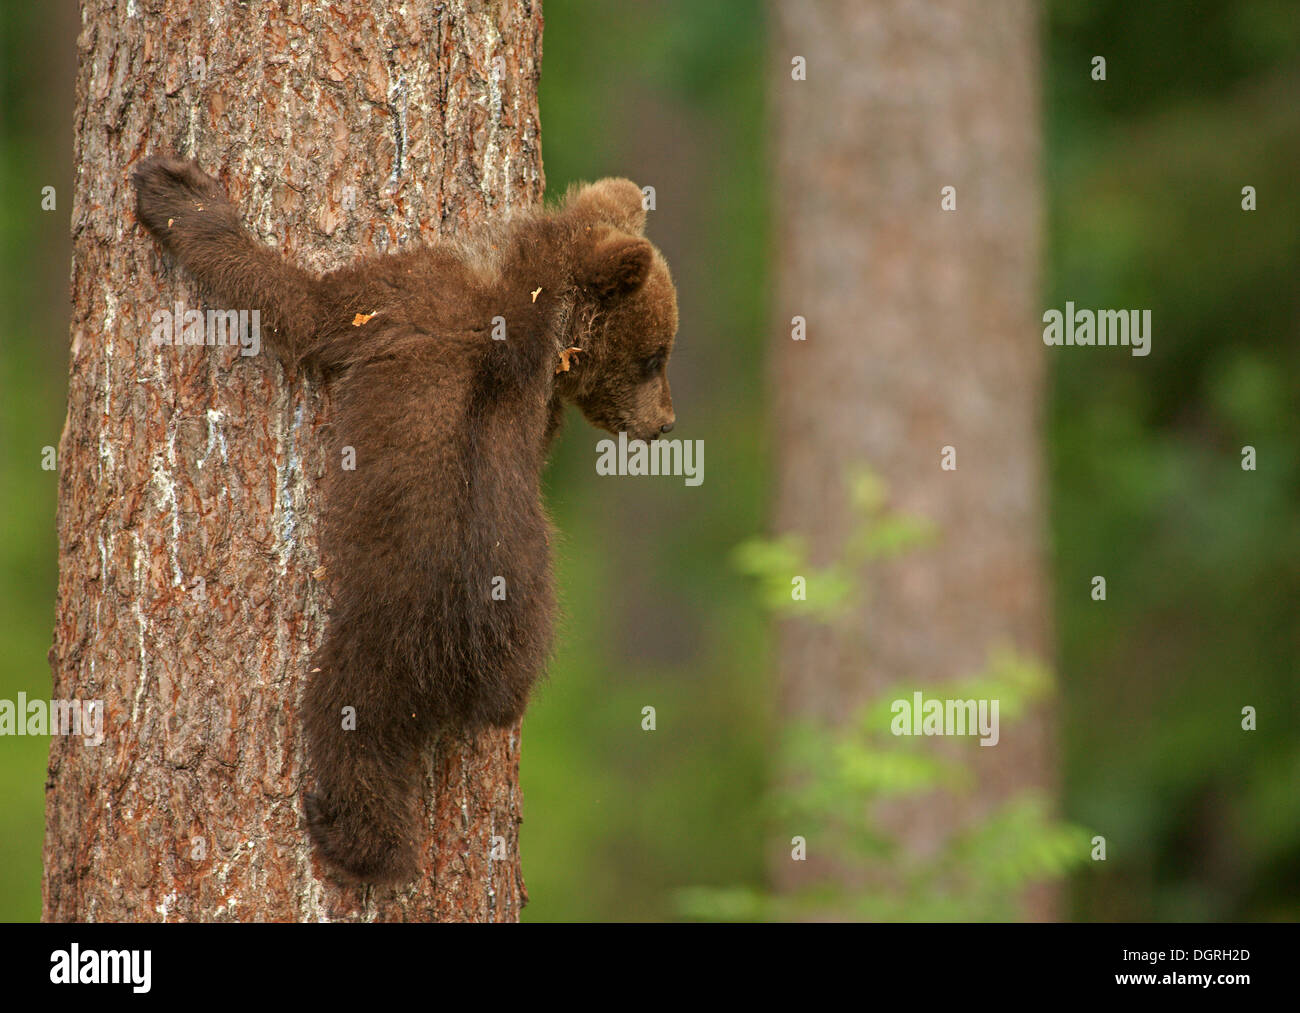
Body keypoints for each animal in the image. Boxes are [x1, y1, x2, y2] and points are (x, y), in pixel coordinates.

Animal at [130, 154, 678, 884]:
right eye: (655, 357)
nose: (664, 423)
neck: (529, 289)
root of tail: (482, 673)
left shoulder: (404, 300)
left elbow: (305, 307)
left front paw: (178, 196)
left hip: (387, 631)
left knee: (348, 721)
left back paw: (355, 838)